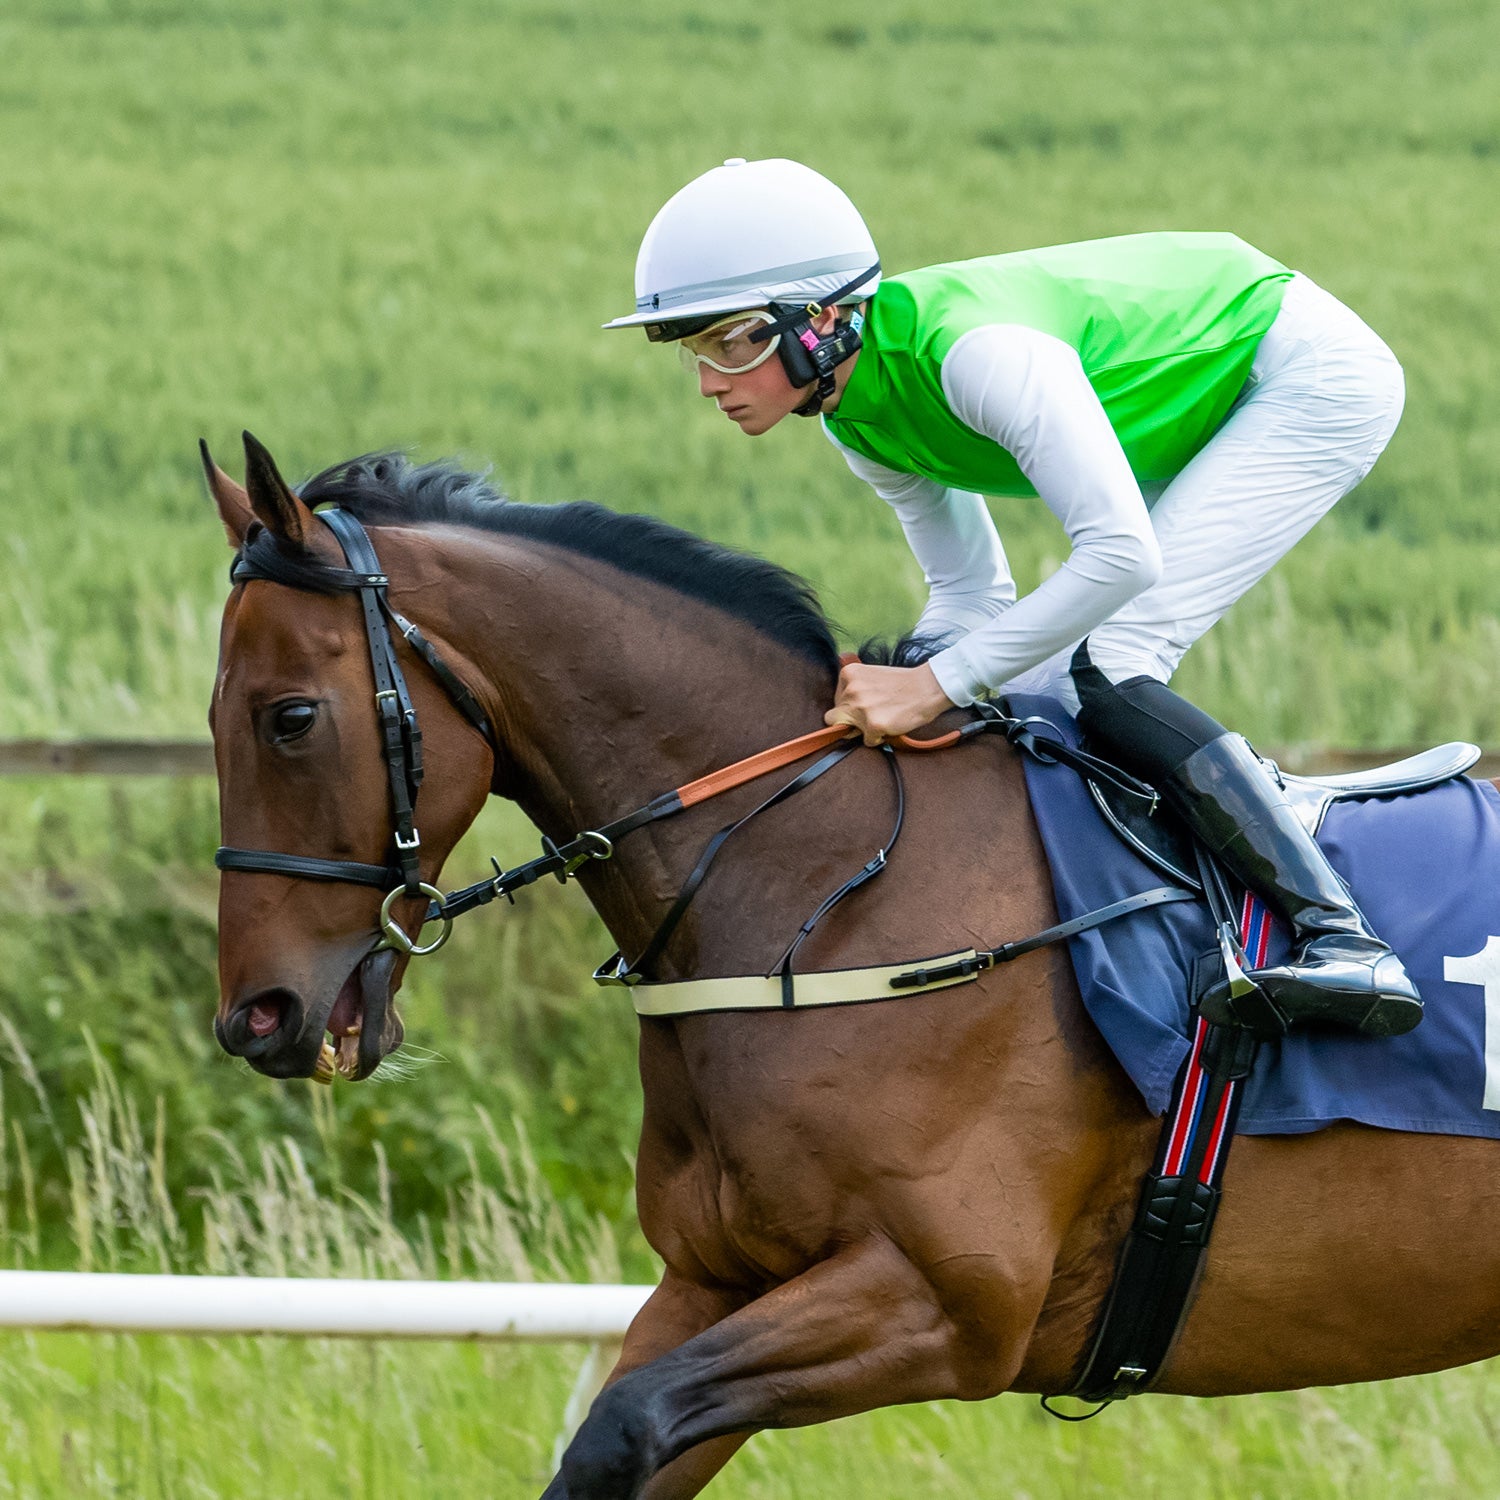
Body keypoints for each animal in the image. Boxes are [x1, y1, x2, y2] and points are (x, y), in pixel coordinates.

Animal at [206, 433, 1500, 1500]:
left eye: (288, 717)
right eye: (214, 716)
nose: (258, 1018)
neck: (819, 878)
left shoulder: (948, 1303)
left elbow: (627, 1427)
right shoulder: (714, 1281)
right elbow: (607, 1445)